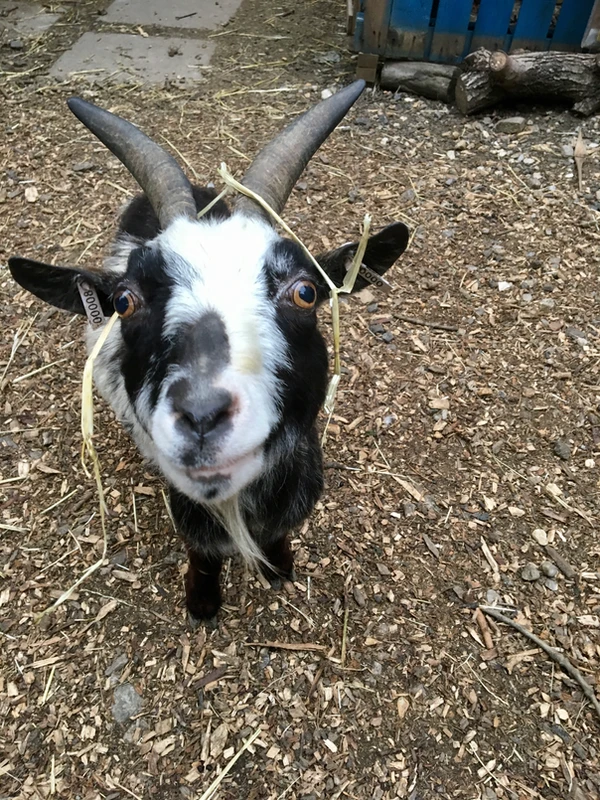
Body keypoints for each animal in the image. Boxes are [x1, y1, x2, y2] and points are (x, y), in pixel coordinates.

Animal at [8, 81, 409, 623]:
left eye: (306, 291)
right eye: (124, 301)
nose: (201, 415)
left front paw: (279, 569)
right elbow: (200, 549)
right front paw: (202, 600)